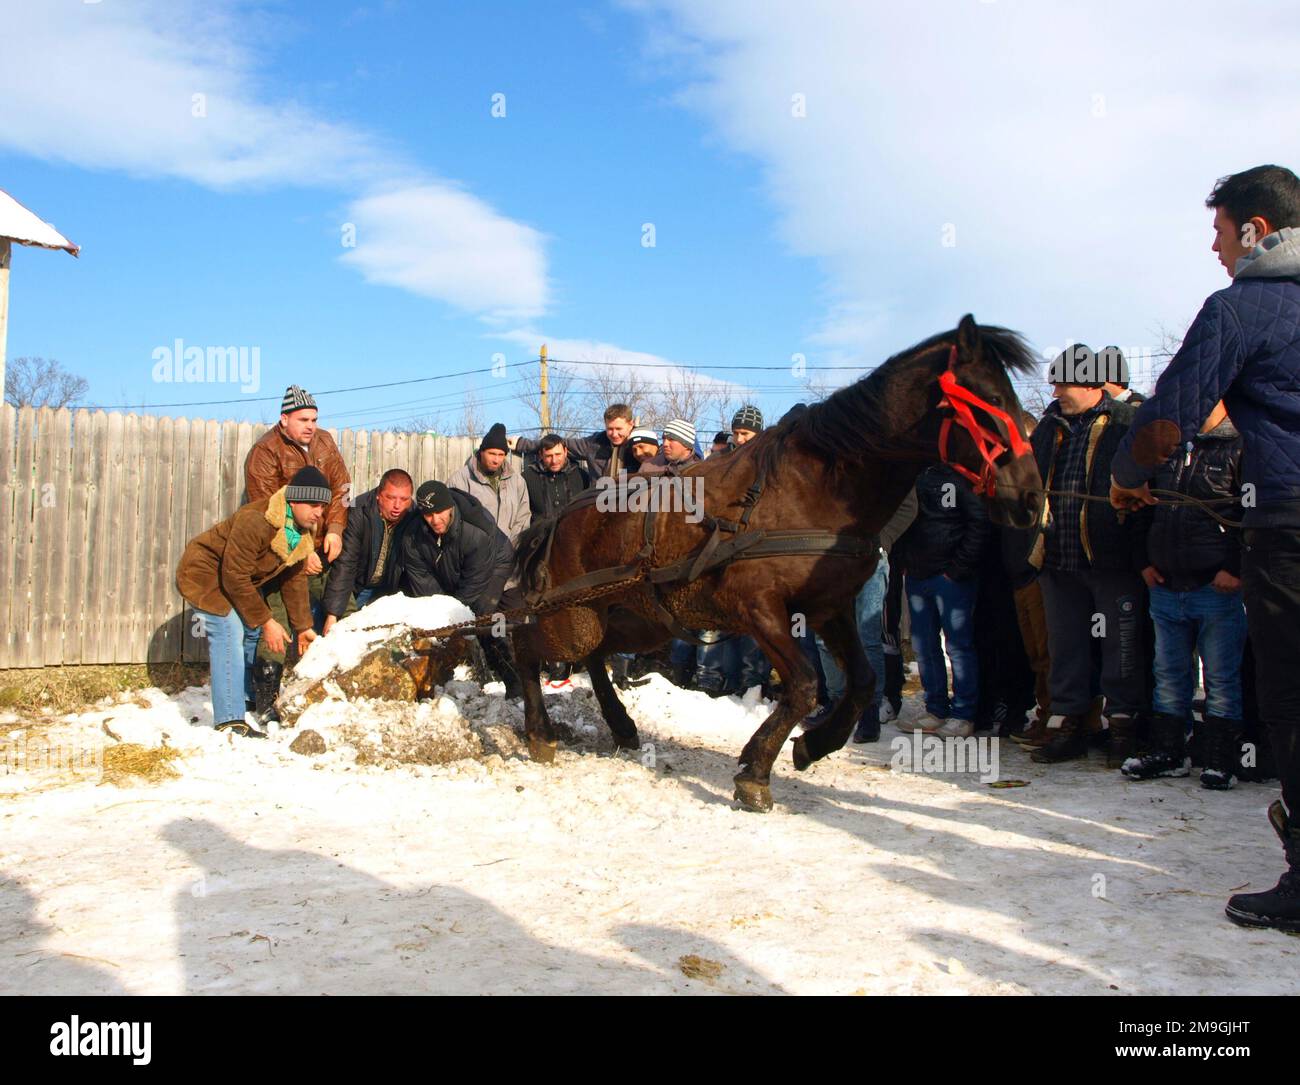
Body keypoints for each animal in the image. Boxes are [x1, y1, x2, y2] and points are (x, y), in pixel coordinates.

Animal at [510, 315, 1044, 812]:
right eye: (987, 399)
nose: (1032, 499)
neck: (812, 489)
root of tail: (560, 516)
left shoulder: (830, 608)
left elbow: (862, 681)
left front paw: (813, 744)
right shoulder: (760, 609)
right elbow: (806, 685)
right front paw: (757, 771)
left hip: (630, 618)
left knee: (595, 658)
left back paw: (620, 726)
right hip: (574, 617)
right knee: (525, 642)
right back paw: (539, 731)